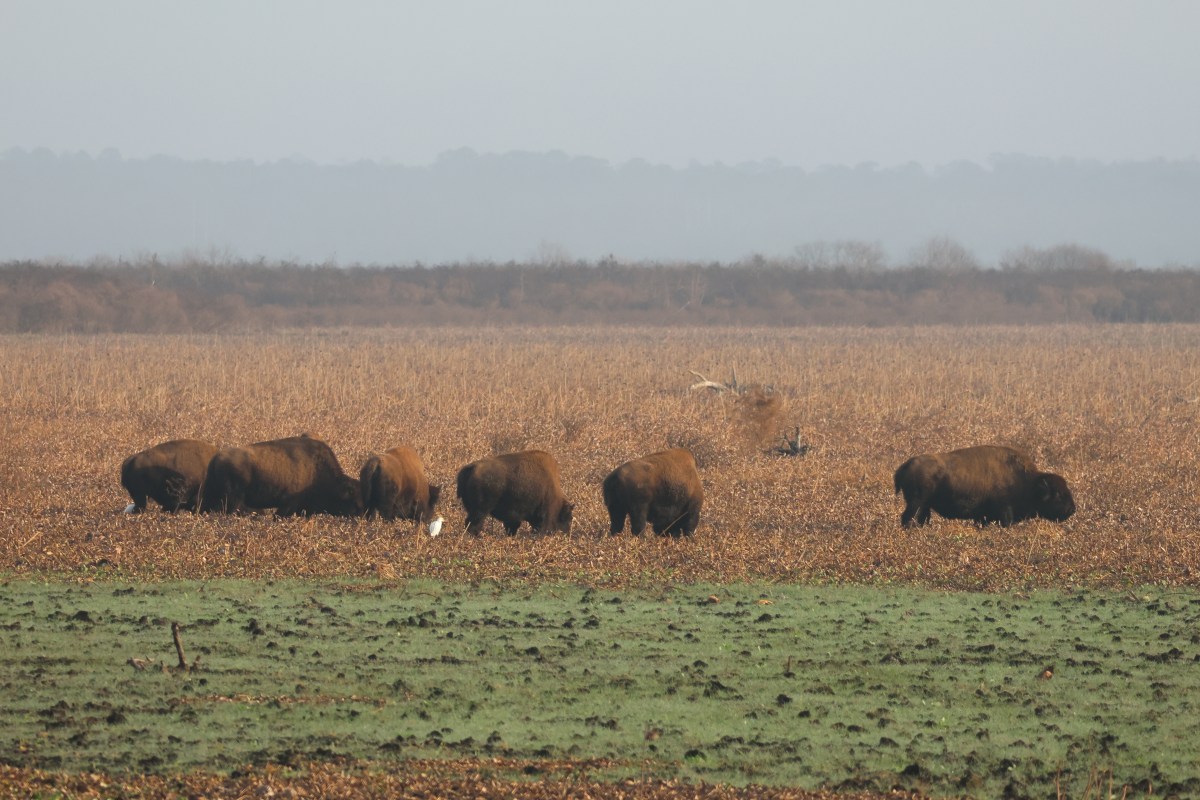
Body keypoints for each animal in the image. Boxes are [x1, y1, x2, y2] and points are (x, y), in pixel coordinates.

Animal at [893, 444, 1075, 528]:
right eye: (1058, 494)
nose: (1072, 509)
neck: (1029, 482)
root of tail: (906, 465)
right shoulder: (1005, 512)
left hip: (924, 506)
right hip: (916, 503)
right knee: (907, 518)